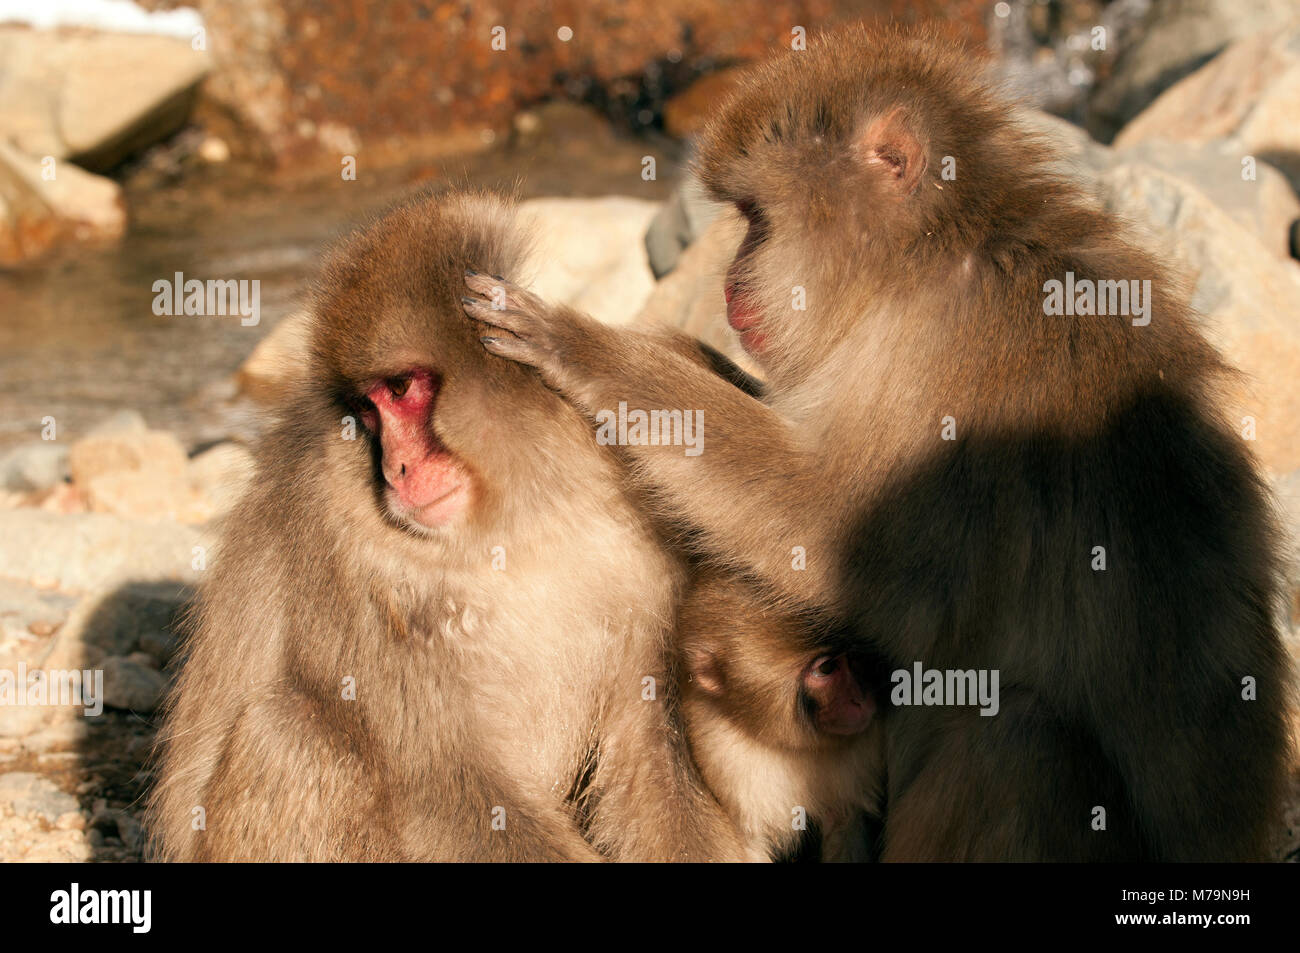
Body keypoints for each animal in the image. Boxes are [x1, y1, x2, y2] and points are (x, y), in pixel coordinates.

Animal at [146, 189, 766, 862]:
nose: (396, 468)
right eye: (367, 411)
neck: (522, 514)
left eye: (399, 389)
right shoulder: (345, 549)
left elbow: (647, 749)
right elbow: (443, 783)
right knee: (291, 732)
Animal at [460, 22, 1295, 861]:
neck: (922, 256)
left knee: (1017, 740)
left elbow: (828, 527)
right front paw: (678, 351)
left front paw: (591, 351)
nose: (729, 277)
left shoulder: (938, 361)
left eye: (756, 218)